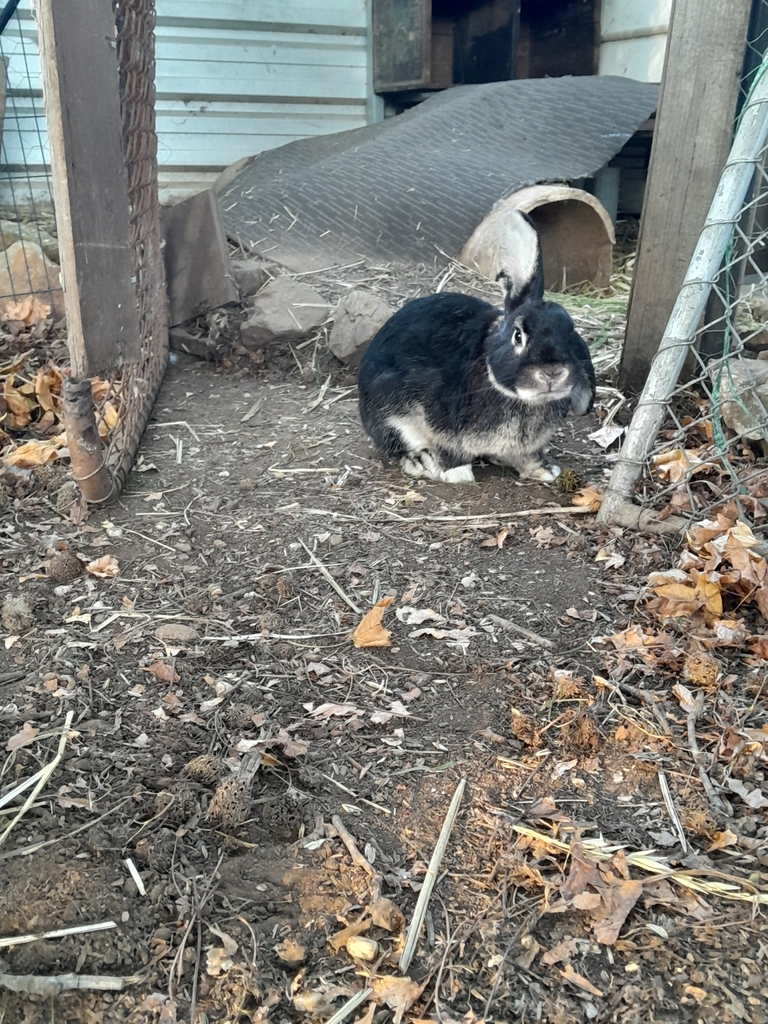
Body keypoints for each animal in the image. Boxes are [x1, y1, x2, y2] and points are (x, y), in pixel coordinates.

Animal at [357, 212, 595, 484]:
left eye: (570, 330)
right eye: (518, 335)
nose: (552, 373)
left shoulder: (525, 446)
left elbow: (527, 456)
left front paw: (543, 470)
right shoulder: (440, 421)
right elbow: (450, 449)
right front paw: (457, 473)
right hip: (387, 408)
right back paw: (422, 460)